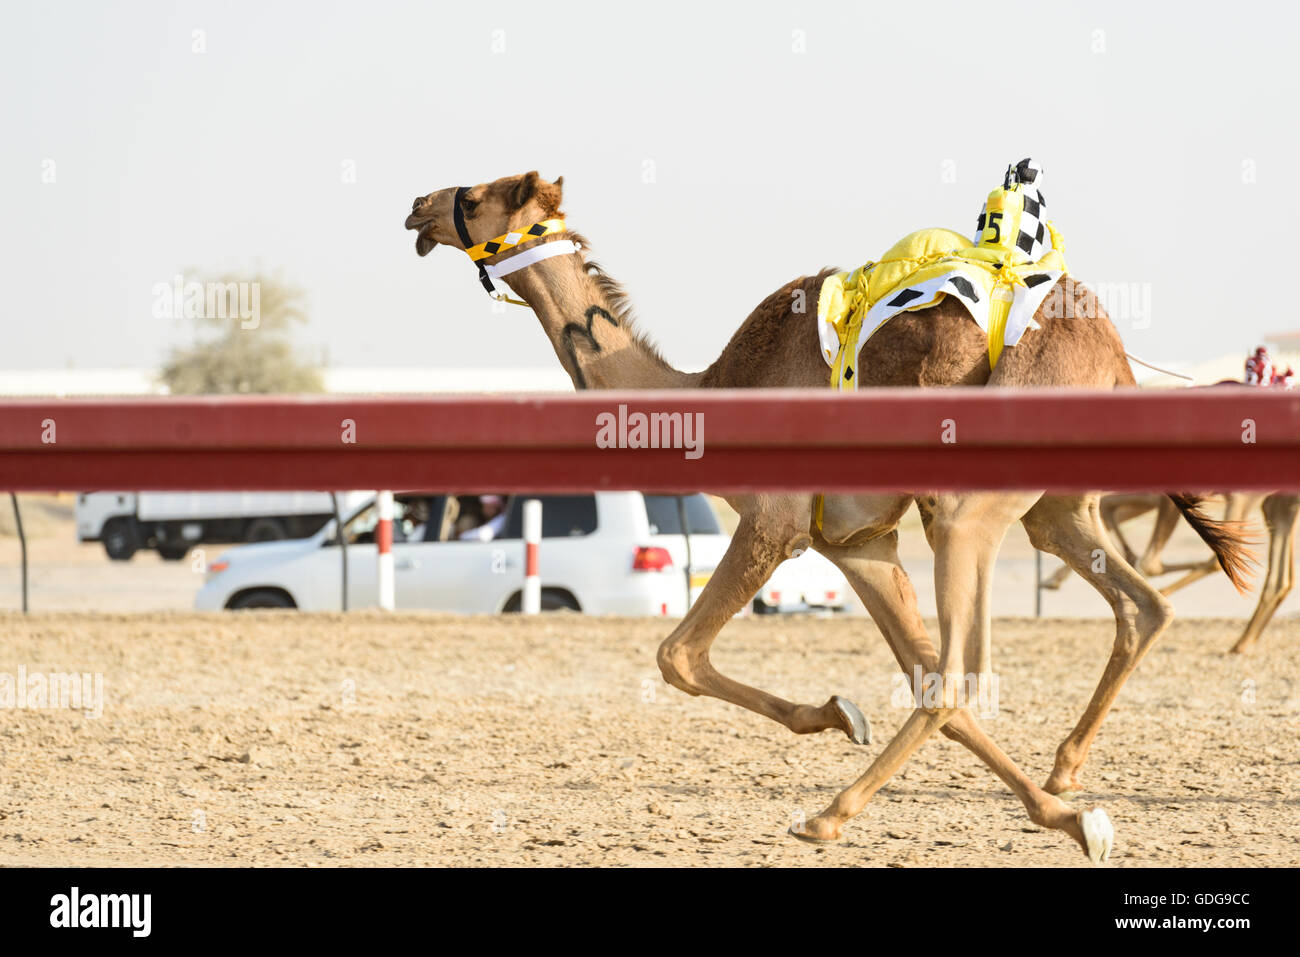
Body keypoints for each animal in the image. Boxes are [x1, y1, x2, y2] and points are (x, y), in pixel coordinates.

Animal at [404, 171, 1254, 861]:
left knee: (966, 666)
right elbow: (914, 665)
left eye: (476, 193)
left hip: (973, 496)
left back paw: (827, 814)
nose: (418, 205)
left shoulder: (774, 524)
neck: (712, 391)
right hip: (1053, 506)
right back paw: (1064, 771)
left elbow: (679, 657)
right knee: (1137, 606)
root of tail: (1113, 350)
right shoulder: (857, 541)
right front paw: (1071, 819)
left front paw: (841, 716)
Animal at [1045, 491, 1293, 653]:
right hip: (1277, 505)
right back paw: (1243, 643)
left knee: (1216, 557)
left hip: (1249, 499)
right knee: (1281, 578)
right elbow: (1105, 509)